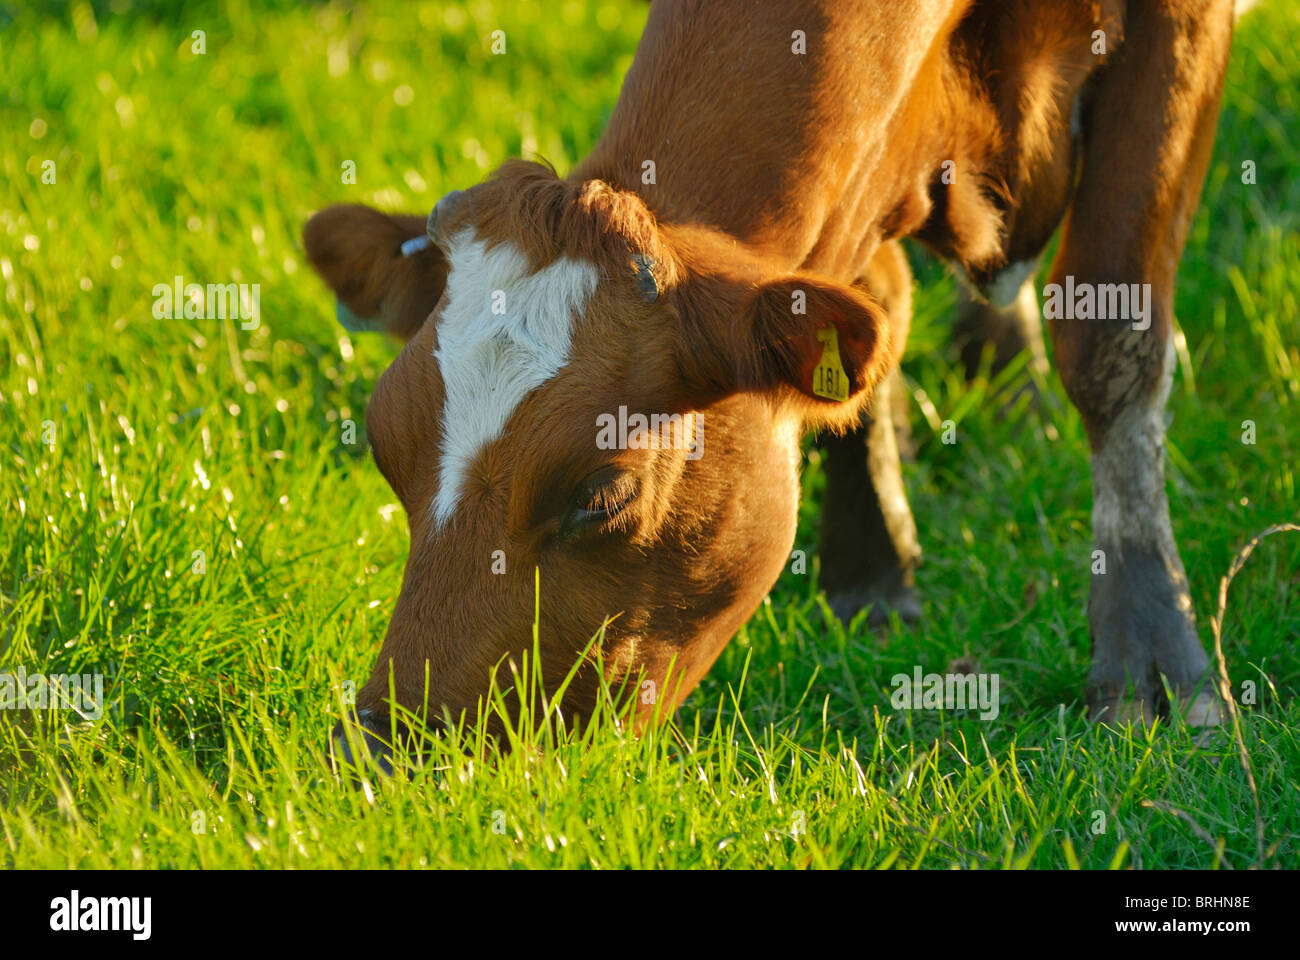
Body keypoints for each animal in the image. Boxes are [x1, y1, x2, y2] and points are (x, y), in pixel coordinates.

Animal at [304, 0, 1235, 764]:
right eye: (383, 447)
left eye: (602, 494)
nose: (380, 754)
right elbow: (873, 316)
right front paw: (872, 575)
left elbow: (1112, 337)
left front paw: (1154, 661)